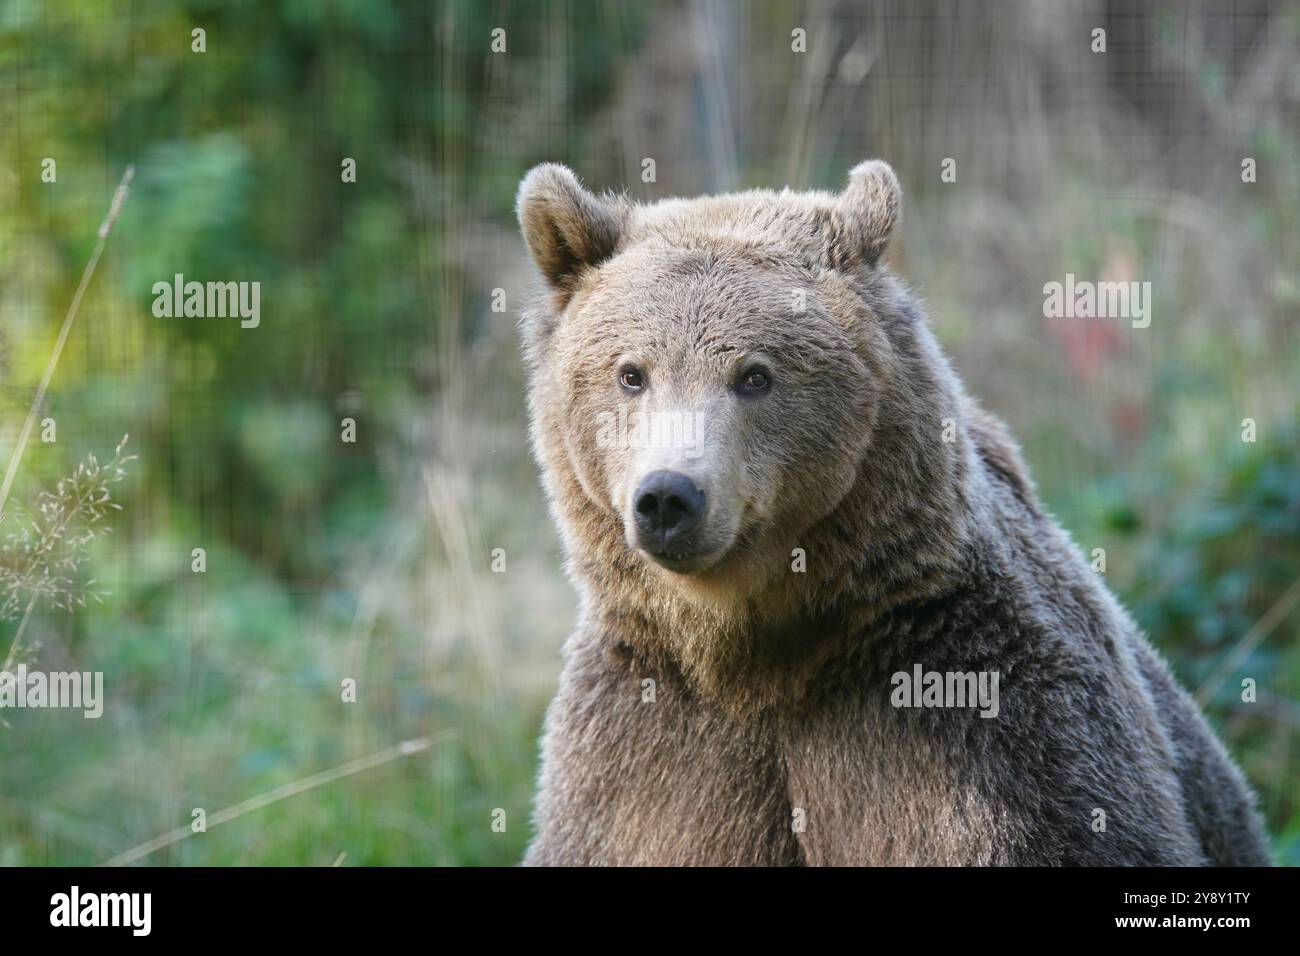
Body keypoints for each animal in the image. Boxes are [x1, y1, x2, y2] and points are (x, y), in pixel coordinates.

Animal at [514, 159, 1272, 866]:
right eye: (630, 373)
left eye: (755, 375)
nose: (669, 497)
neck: (754, 656)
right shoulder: (650, 746)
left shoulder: (971, 725)